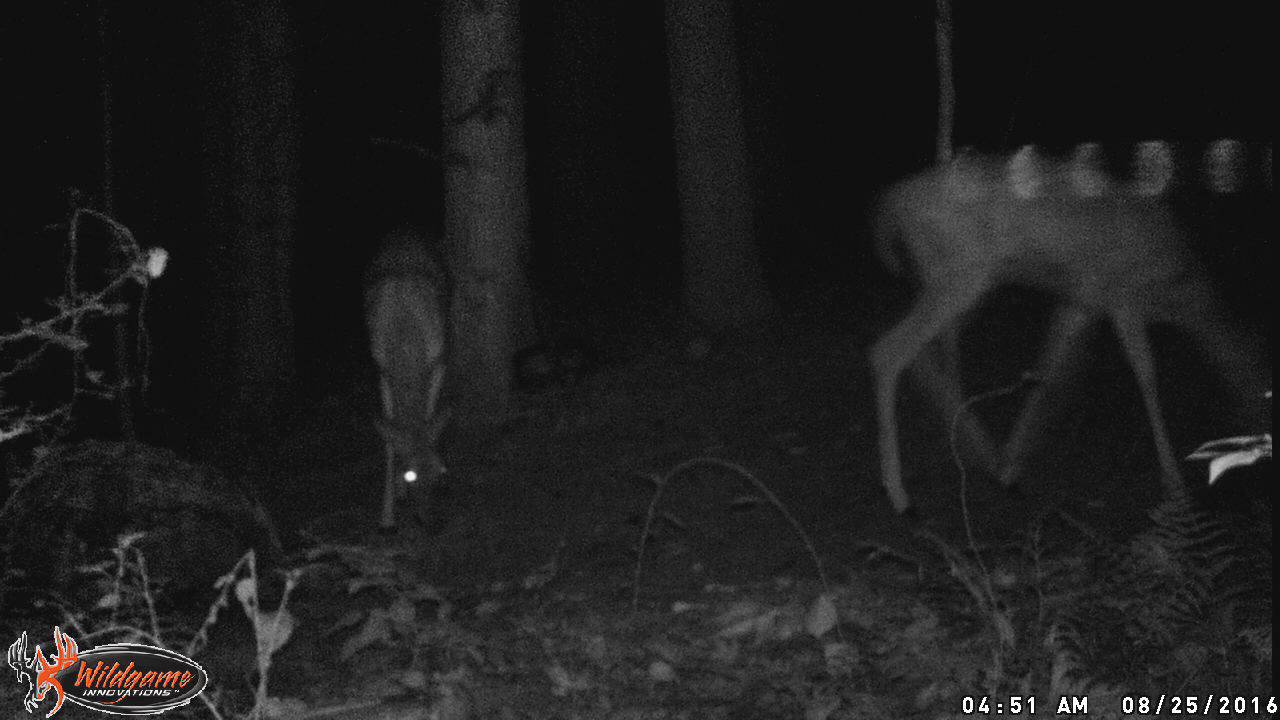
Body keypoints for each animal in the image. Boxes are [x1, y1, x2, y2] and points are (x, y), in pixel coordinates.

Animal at [365, 227, 452, 529]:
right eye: (409, 475)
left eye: (441, 470)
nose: (434, 522)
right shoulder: (382, 369)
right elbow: (390, 439)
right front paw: (387, 516)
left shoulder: (438, 361)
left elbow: (430, 414)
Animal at [868, 140, 1268, 514]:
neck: (1175, 291)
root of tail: (890, 207)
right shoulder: (1121, 295)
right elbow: (1146, 374)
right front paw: (1174, 484)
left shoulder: (1080, 303)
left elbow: (1053, 373)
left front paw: (1011, 465)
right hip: (961, 272)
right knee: (888, 351)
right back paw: (899, 493)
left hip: (954, 278)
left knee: (922, 357)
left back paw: (981, 454)